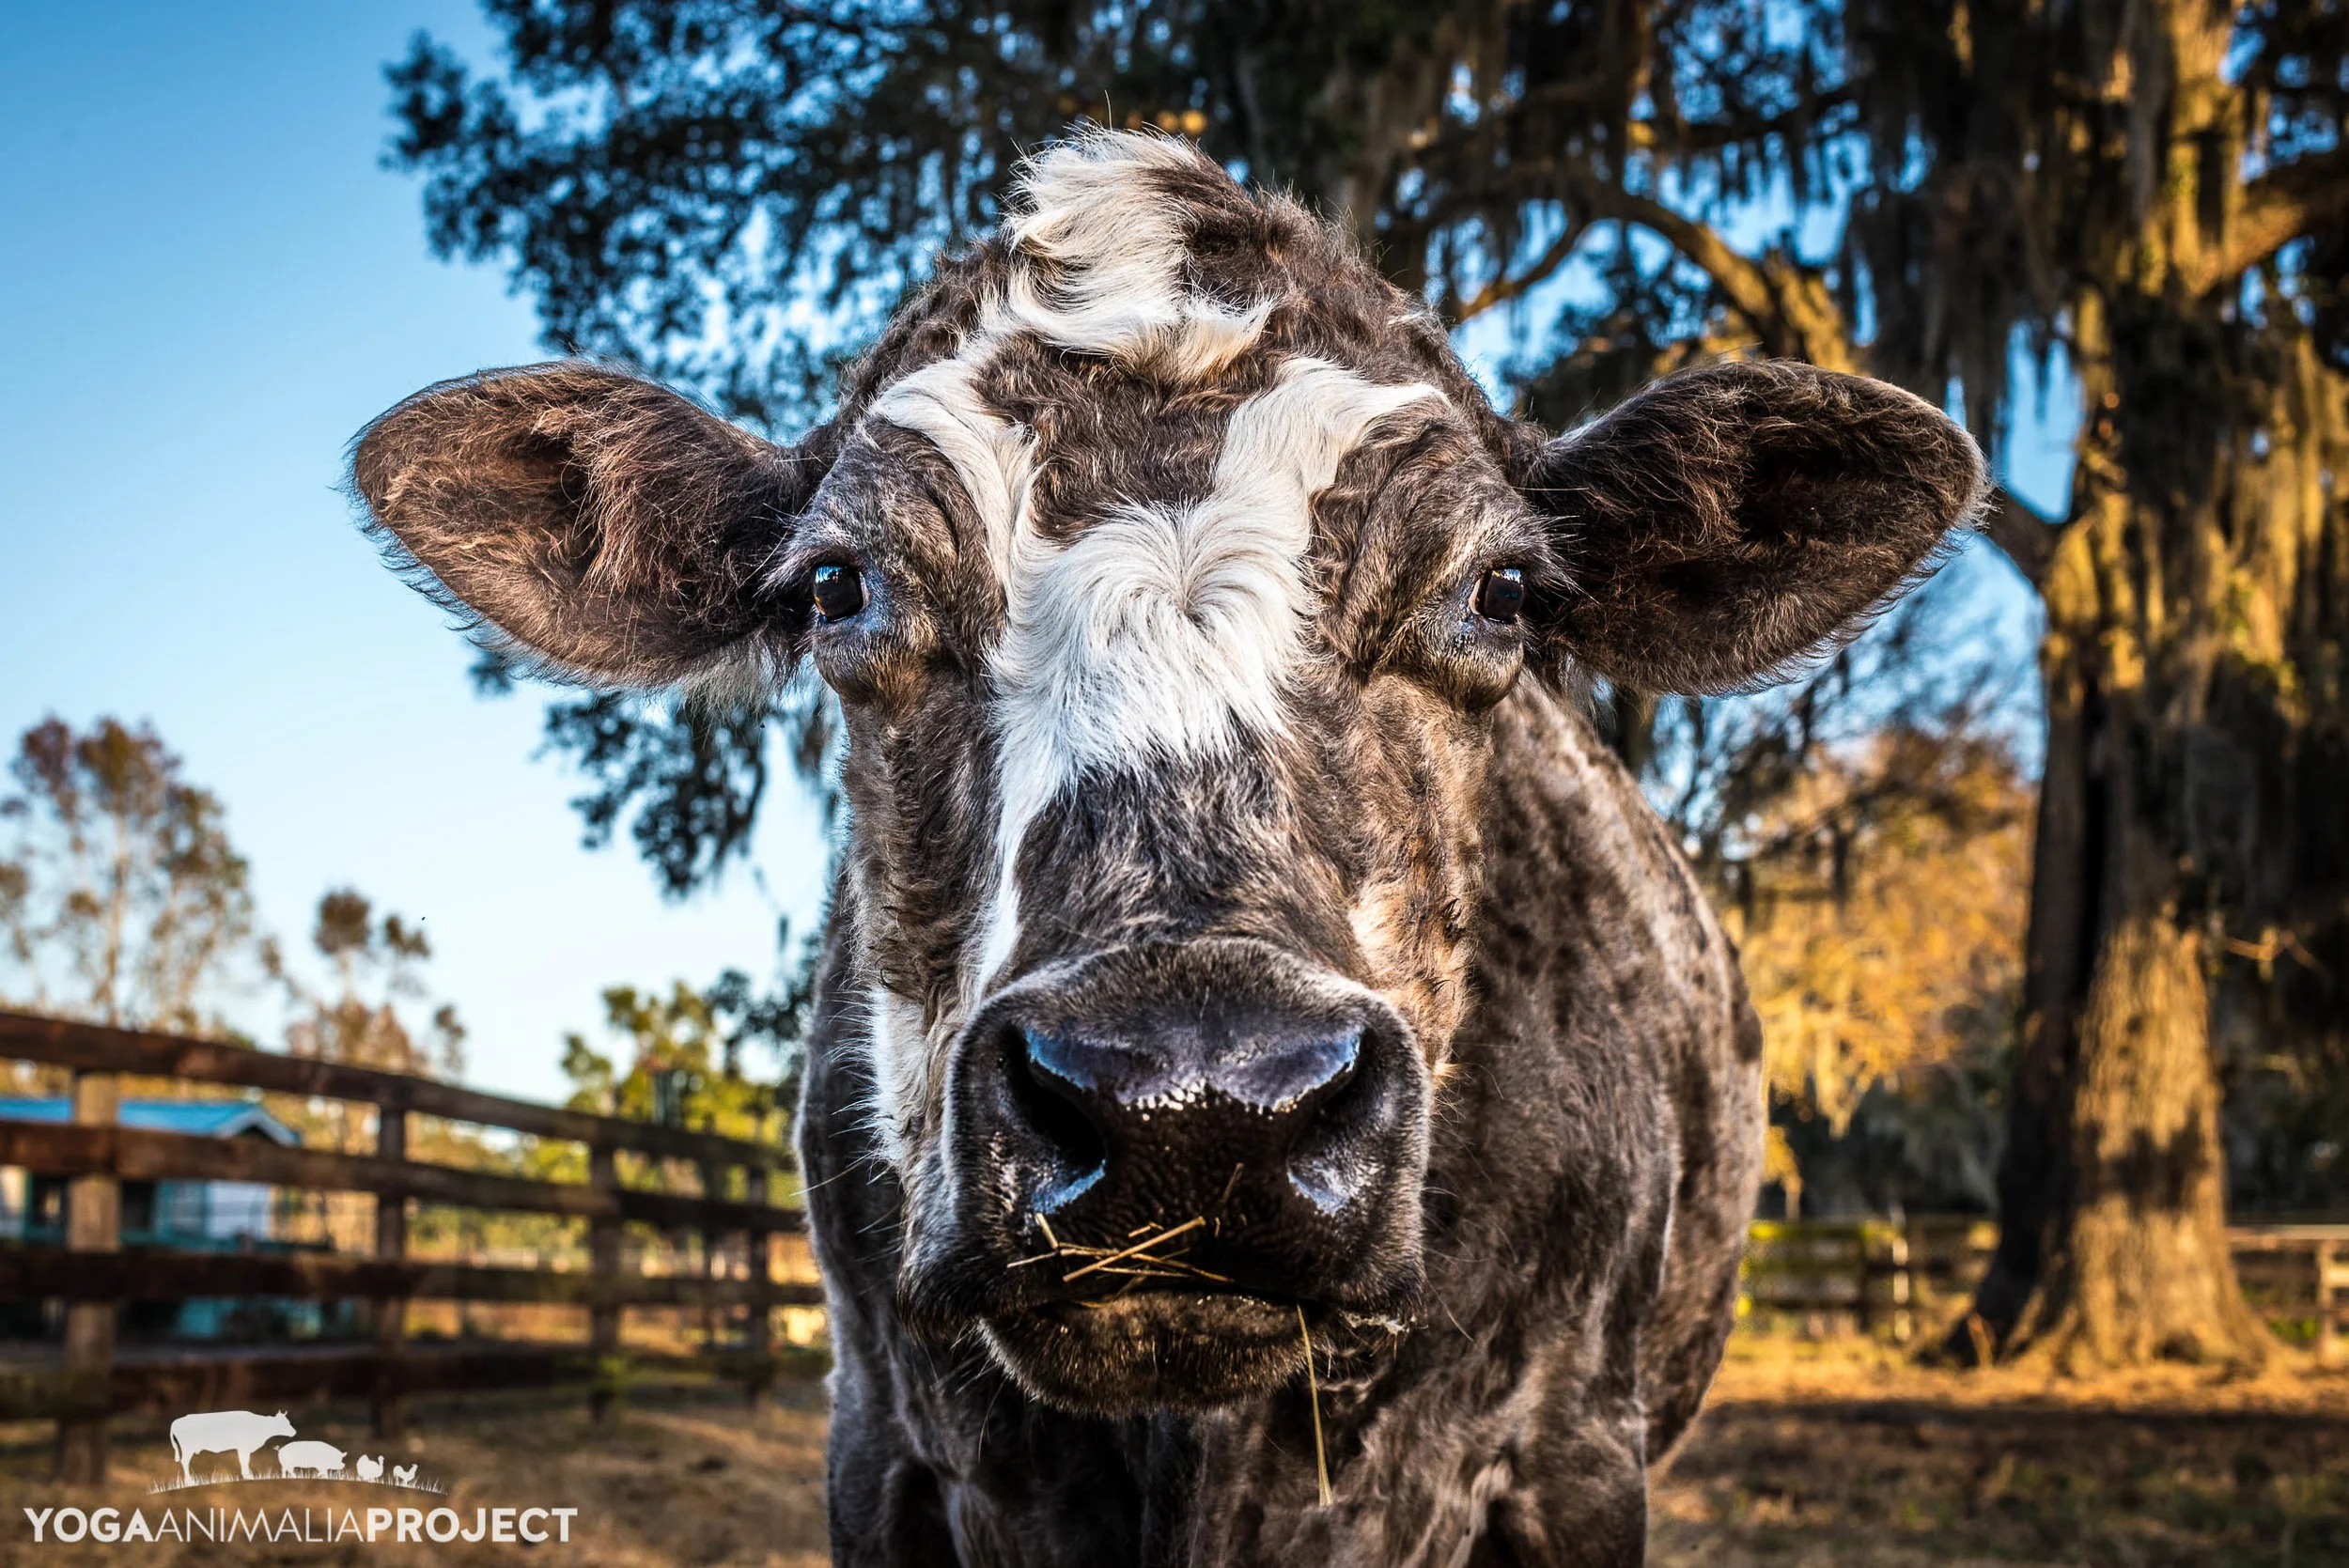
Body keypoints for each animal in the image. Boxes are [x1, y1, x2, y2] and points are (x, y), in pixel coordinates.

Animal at [169, 1409, 293, 1485]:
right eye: (285, 1423)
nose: (294, 1431)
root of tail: (177, 1421)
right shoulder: (243, 1447)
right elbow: (244, 1461)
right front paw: (248, 1476)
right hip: (187, 1448)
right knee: (184, 1462)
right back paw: (190, 1481)